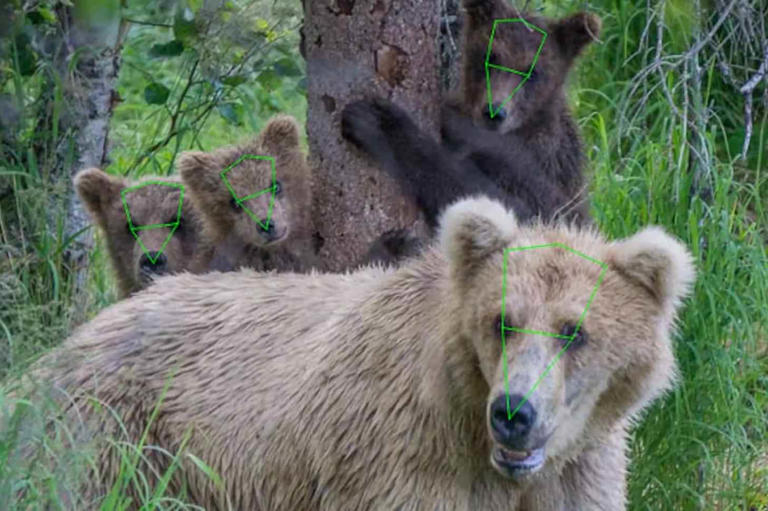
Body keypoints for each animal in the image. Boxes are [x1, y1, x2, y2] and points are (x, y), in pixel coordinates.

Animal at [25, 196, 694, 509]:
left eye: (573, 331)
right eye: (502, 321)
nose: (514, 412)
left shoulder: (576, 471)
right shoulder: (406, 455)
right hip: (117, 438)